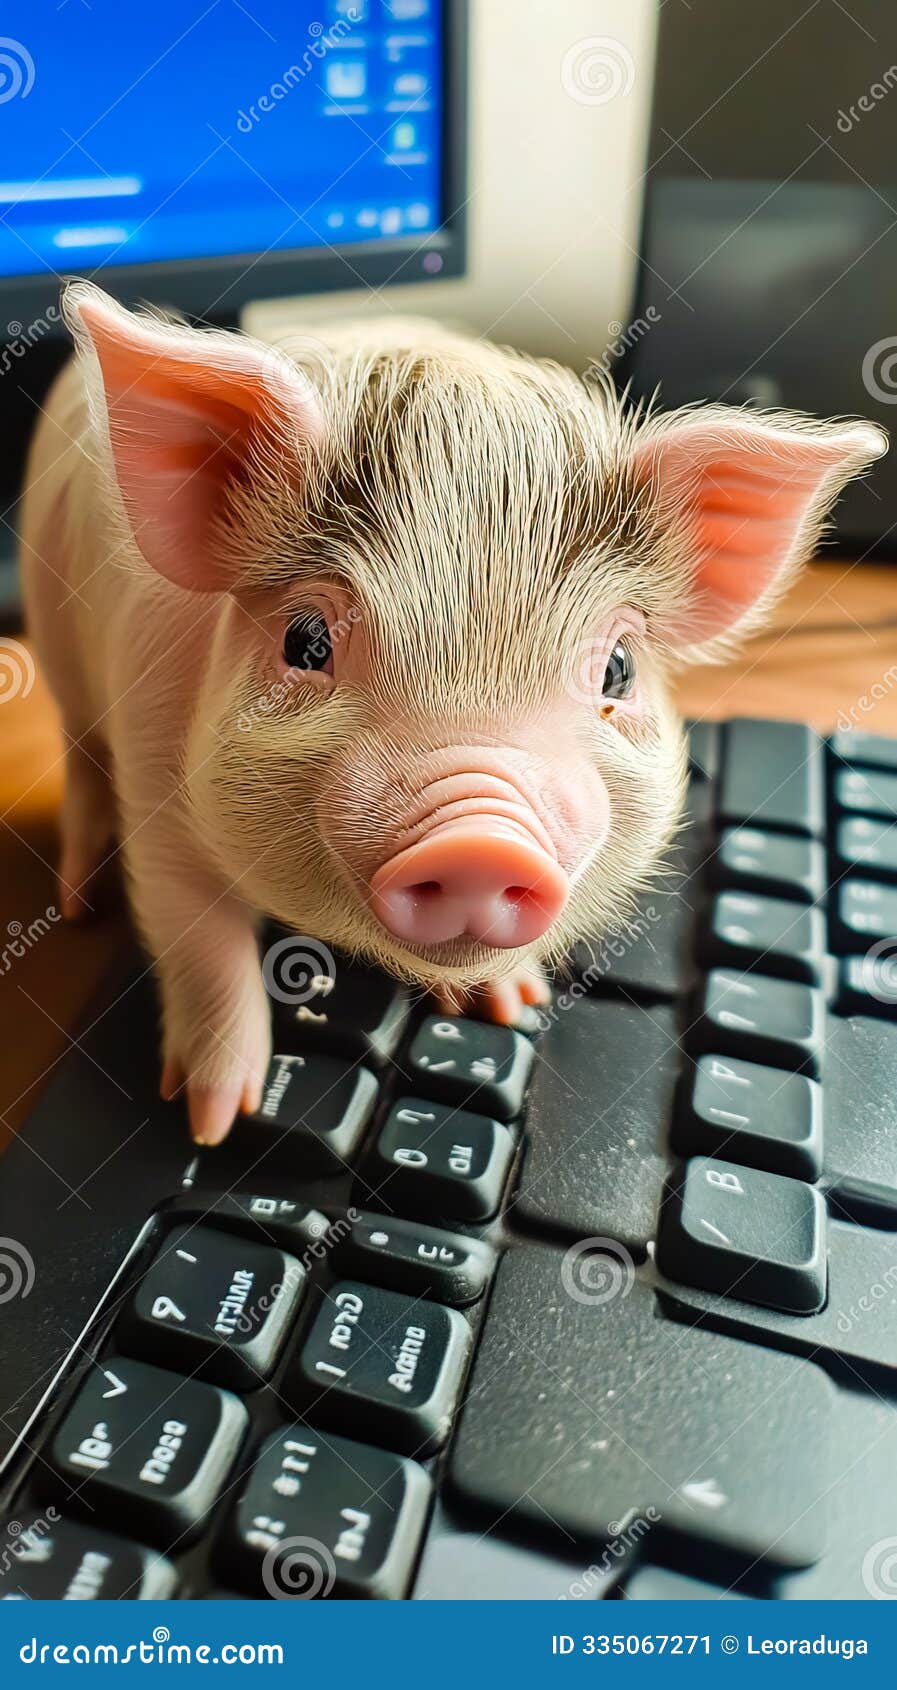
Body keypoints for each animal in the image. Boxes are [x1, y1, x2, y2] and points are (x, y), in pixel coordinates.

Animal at [20, 281, 886, 1146]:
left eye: (618, 666)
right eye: (306, 641)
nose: (481, 838)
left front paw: (512, 1007)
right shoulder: (156, 783)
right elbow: (200, 936)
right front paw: (213, 1122)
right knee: (79, 757)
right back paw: (79, 902)